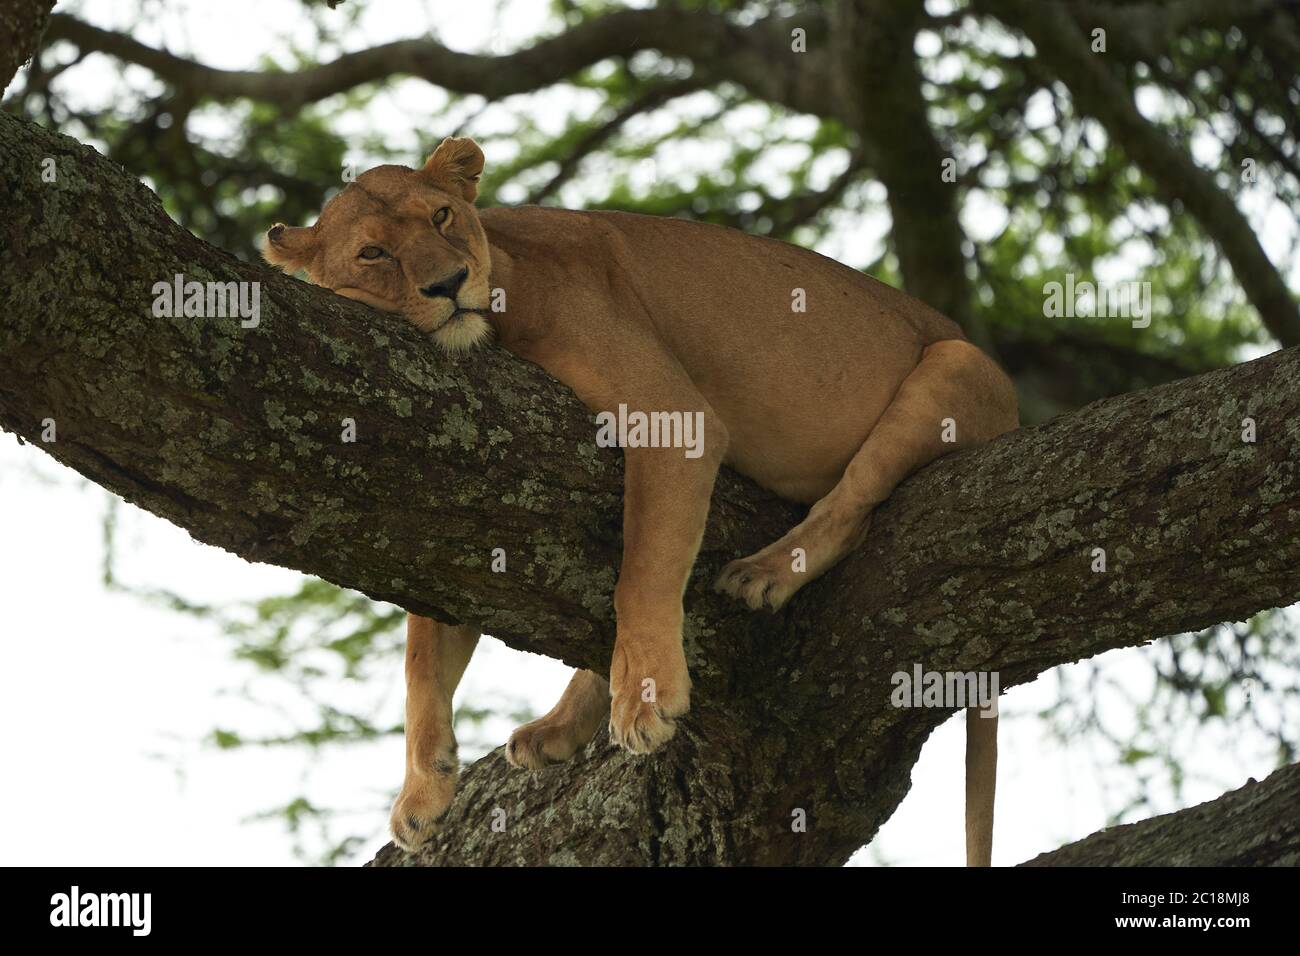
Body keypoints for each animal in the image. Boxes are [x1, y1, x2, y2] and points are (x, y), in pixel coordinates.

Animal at [264, 137, 1019, 866]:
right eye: (373, 253)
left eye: (442, 216)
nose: (449, 284)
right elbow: (421, 658)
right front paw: (423, 788)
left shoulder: (672, 415)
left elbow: (643, 573)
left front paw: (648, 694)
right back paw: (557, 728)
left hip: (956, 364)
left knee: (854, 506)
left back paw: (765, 574)